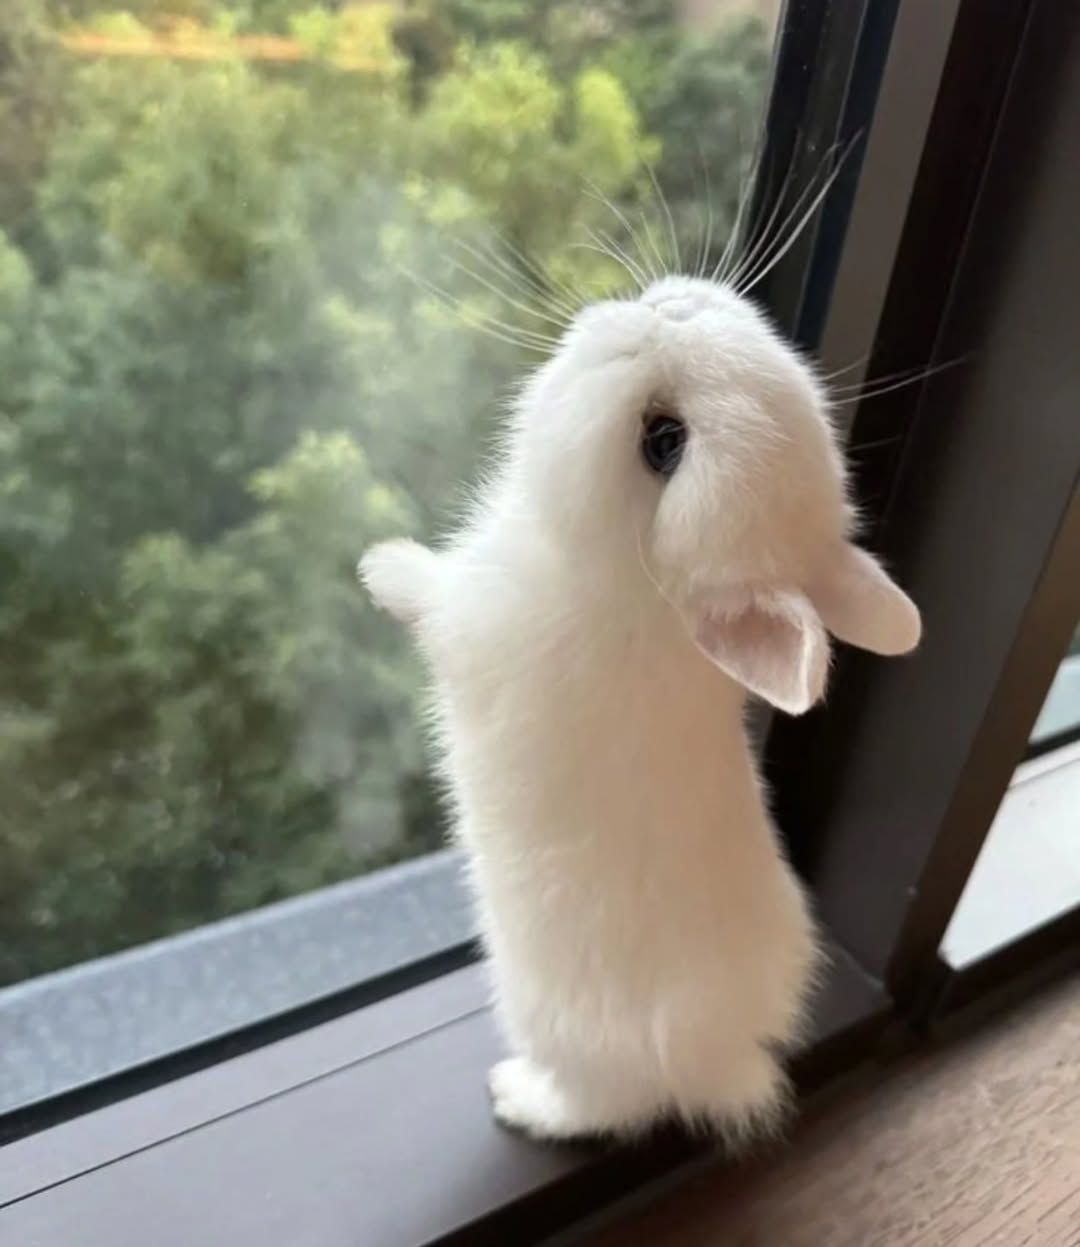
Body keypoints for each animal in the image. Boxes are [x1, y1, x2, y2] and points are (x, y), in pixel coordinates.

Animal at [359, 274, 921, 1144]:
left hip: (558, 1030)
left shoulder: (472, 619)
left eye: (665, 440)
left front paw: (379, 565)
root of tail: (719, 1063)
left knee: (598, 1106)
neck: (636, 586)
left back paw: (516, 1096)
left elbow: (428, 596)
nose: (668, 306)